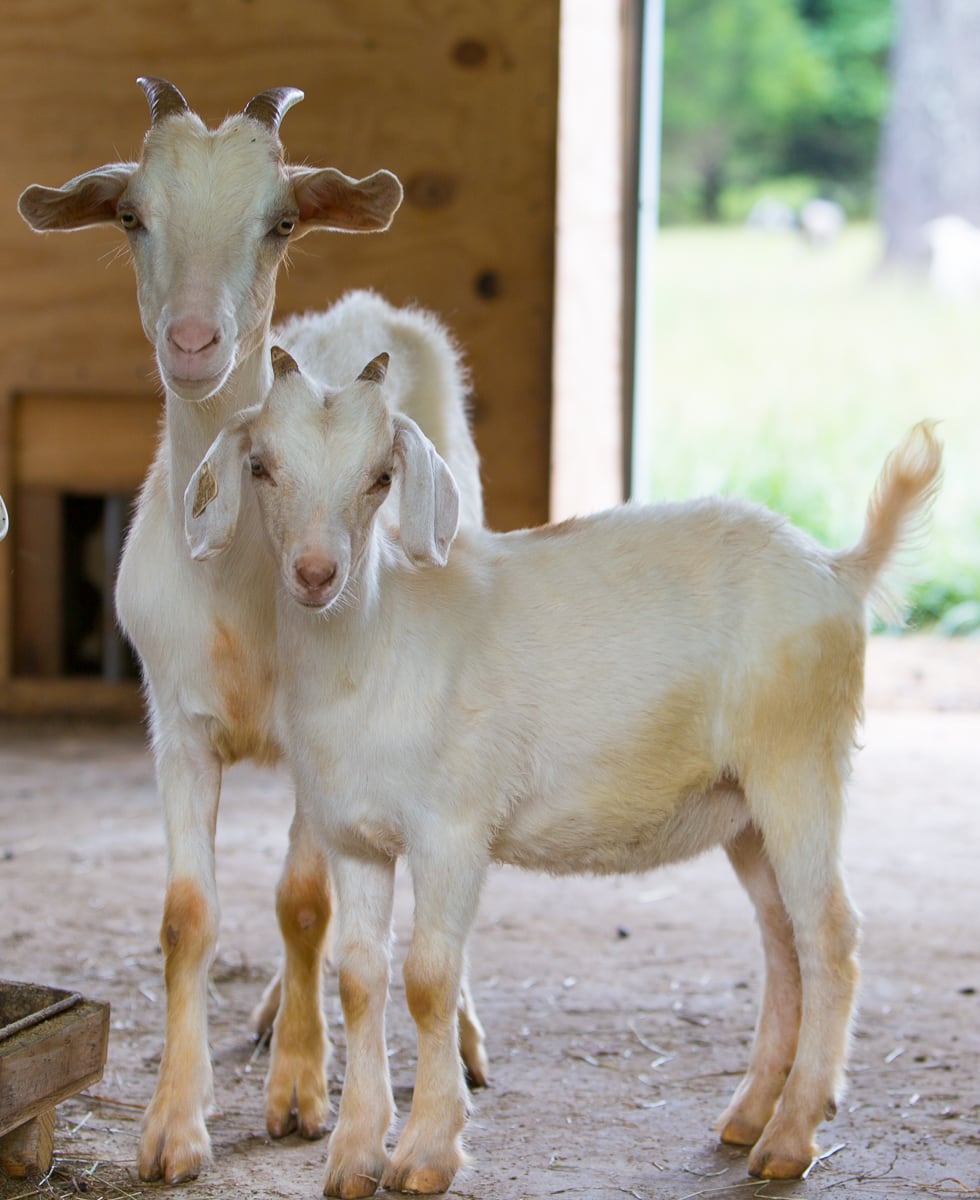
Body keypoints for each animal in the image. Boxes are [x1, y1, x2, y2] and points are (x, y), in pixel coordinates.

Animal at [17, 79, 485, 1184]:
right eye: (131, 215)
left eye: (280, 222)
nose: (193, 341)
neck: (239, 586)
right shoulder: (175, 723)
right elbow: (189, 918)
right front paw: (170, 1128)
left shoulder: (323, 735)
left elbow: (305, 904)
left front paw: (303, 1096)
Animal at [187, 344, 942, 1197]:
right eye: (261, 466)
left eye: (380, 475)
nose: (317, 574)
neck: (374, 641)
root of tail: (841, 570)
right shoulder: (356, 838)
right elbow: (360, 980)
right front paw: (352, 1157)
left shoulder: (453, 828)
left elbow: (428, 980)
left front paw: (425, 1153)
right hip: (743, 807)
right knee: (782, 939)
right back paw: (751, 1115)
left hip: (799, 764)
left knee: (829, 937)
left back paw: (789, 1136)